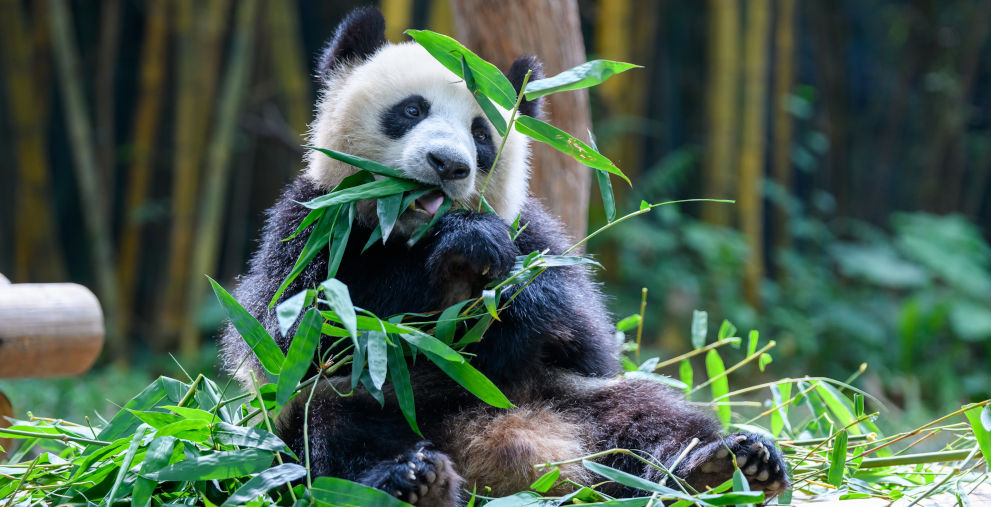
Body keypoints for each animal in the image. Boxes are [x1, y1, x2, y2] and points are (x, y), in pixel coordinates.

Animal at [221, 7, 789, 507]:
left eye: (480, 133)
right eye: (411, 110)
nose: (449, 164)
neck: (410, 229)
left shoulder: (534, 232)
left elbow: (585, 334)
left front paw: (485, 265)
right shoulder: (308, 225)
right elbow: (294, 329)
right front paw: (451, 261)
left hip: (566, 397)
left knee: (649, 416)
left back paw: (722, 464)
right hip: (350, 412)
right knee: (332, 430)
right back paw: (411, 481)